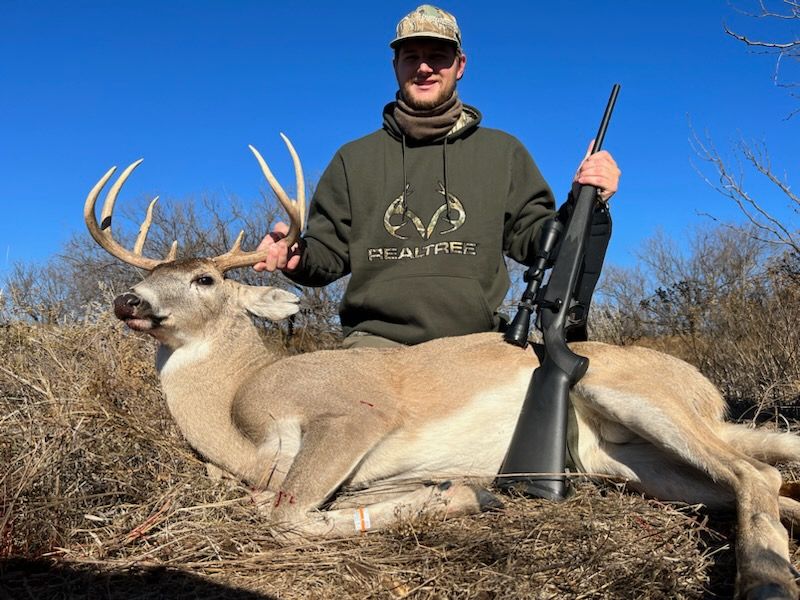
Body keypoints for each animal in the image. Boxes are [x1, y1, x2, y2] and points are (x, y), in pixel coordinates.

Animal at [85, 135, 800, 600]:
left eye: (204, 279)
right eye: (147, 275)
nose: (129, 301)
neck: (237, 409)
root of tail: (702, 387)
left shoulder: (353, 415)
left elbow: (283, 514)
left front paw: (459, 492)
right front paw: (446, 490)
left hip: (628, 393)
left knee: (756, 473)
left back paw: (767, 580)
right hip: (632, 463)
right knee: (767, 474)